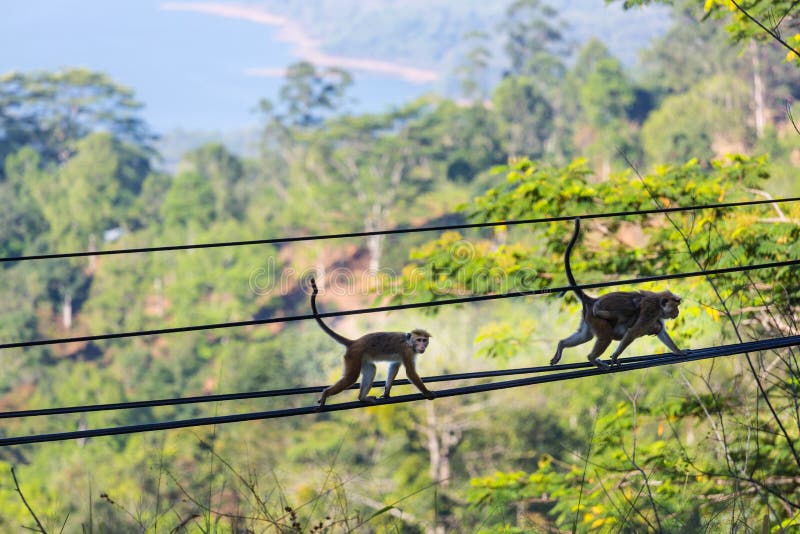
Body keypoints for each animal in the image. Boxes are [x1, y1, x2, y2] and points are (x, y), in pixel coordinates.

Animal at [309, 278, 436, 408]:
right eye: (419, 340)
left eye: (424, 340)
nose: (422, 346)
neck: (410, 343)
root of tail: (354, 342)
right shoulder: (407, 351)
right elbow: (410, 373)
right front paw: (427, 392)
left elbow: (394, 366)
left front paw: (386, 392)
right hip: (353, 356)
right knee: (351, 378)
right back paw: (326, 393)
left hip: (361, 358)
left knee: (371, 370)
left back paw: (362, 398)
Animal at [551, 218, 686, 369]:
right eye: (675, 306)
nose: (677, 312)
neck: (659, 304)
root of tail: (592, 301)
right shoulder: (651, 311)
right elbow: (633, 331)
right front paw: (615, 356)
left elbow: (662, 332)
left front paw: (679, 351)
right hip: (597, 319)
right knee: (606, 336)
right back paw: (592, 358)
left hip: (588, 318)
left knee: (584, 335)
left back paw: (562, 345)